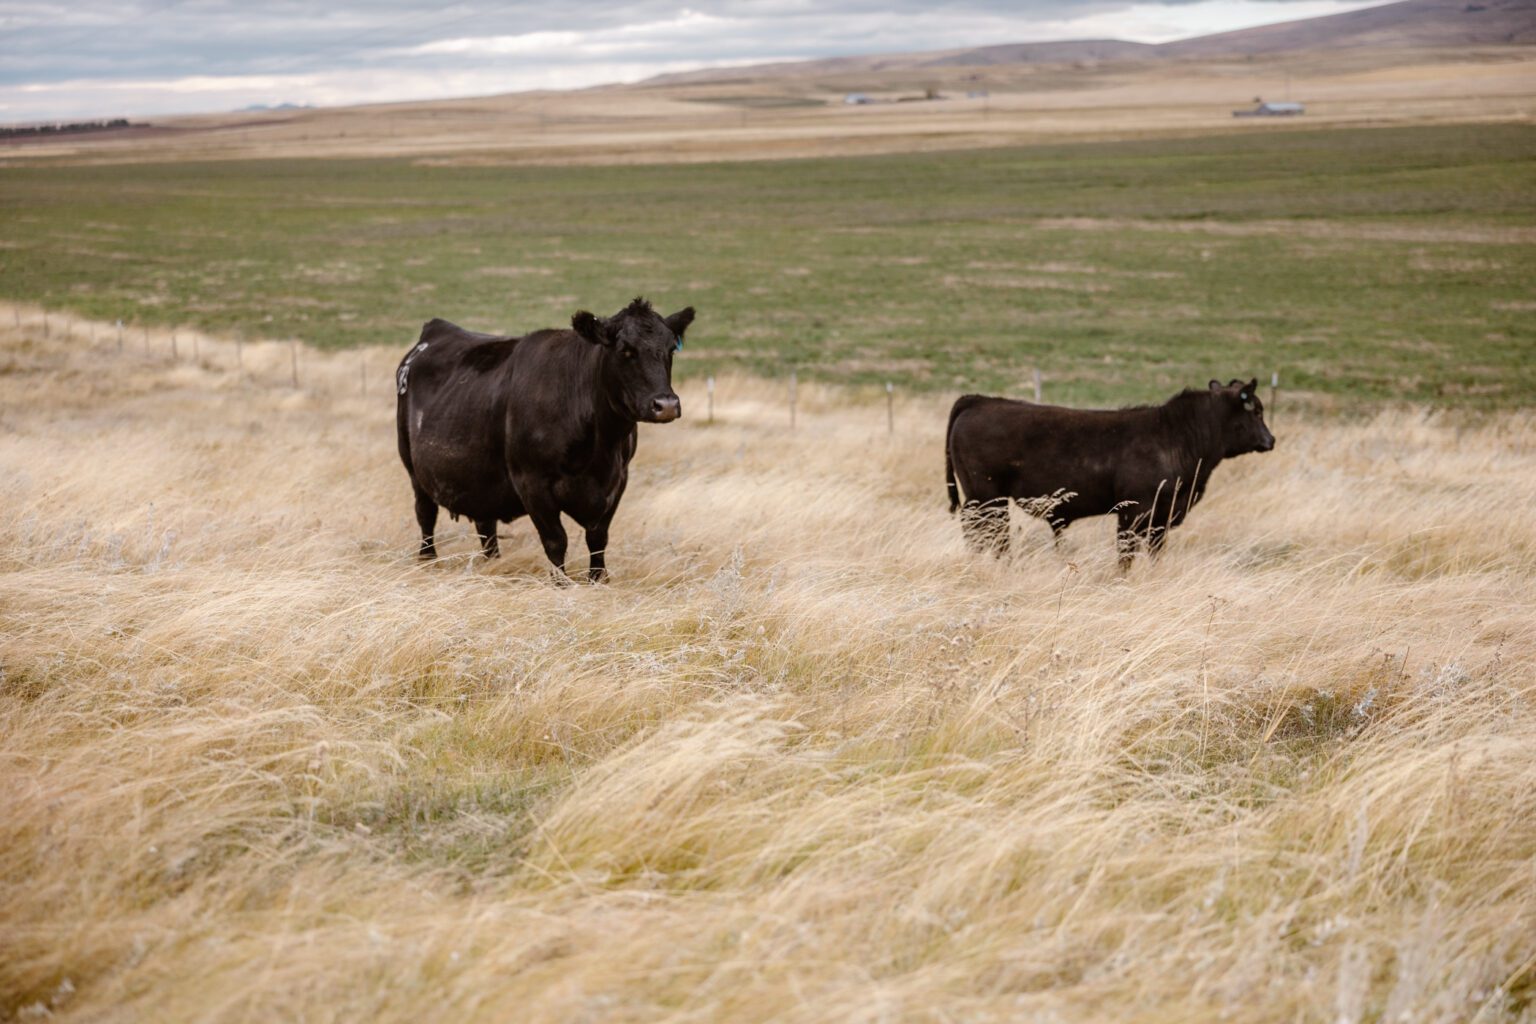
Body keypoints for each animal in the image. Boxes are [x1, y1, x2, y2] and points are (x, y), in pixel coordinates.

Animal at [395, 296, 694, 582]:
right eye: (626, 350)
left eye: (671, 349)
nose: (666, 404)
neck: (600, 450)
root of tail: (436, 329)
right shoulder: (532, 482)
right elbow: (555, 540)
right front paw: (561, 583)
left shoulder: (618, 480)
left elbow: (598, 539)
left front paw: (598, 579)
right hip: (413, 467)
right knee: (425, 514)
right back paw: (428, 560)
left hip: (480, 479)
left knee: (486, 526)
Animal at [944, 378, 1275, 566]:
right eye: (1257, 411)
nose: (1270, 440)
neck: (1175, 436)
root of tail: (979, 400)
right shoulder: (1134, 513)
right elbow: (1125, 556)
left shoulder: (1160, 519)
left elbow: (1154, 554)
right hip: (988, 498)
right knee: (991, 536)